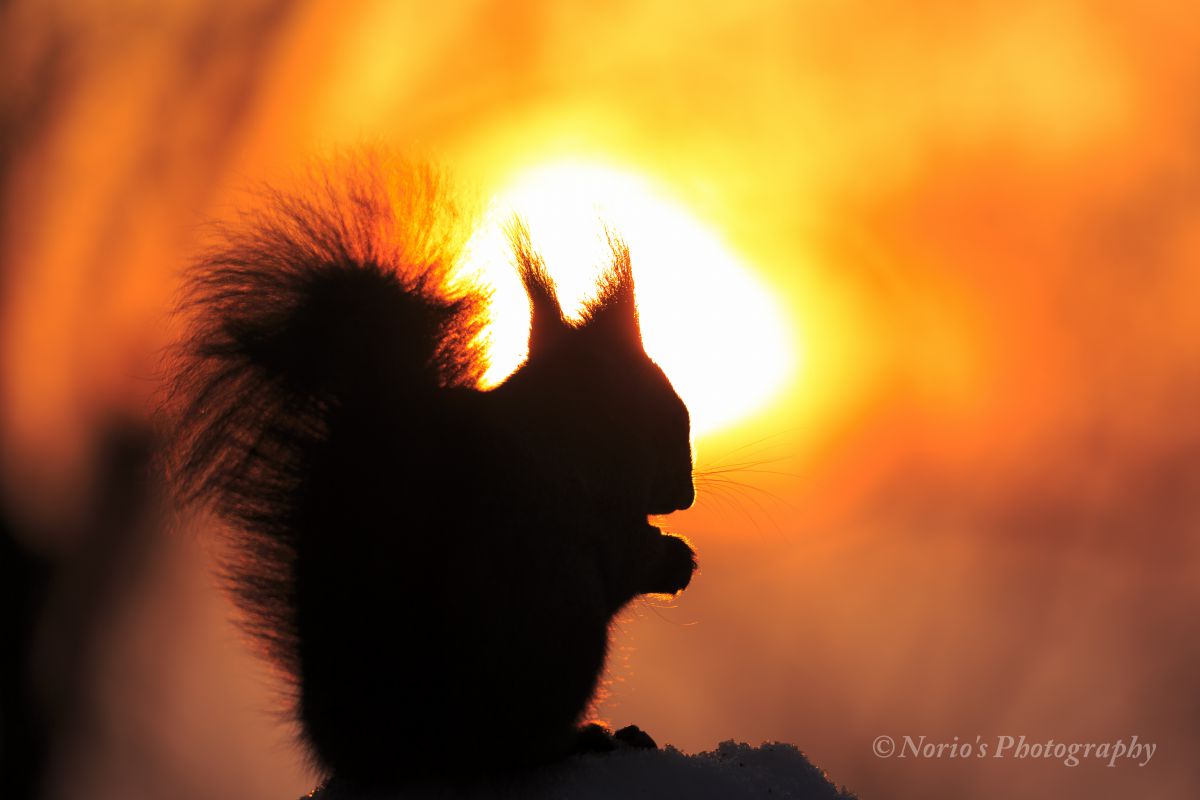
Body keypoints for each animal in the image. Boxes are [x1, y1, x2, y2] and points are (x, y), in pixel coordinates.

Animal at [166, 155, 698, 790]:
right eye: (661, 418)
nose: (687, 494)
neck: (565, 432)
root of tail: (395, 748)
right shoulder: (576, 507)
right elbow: (625, 560)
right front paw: (673, 559)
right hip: (556, 631)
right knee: (510, 752)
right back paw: (585, 740)